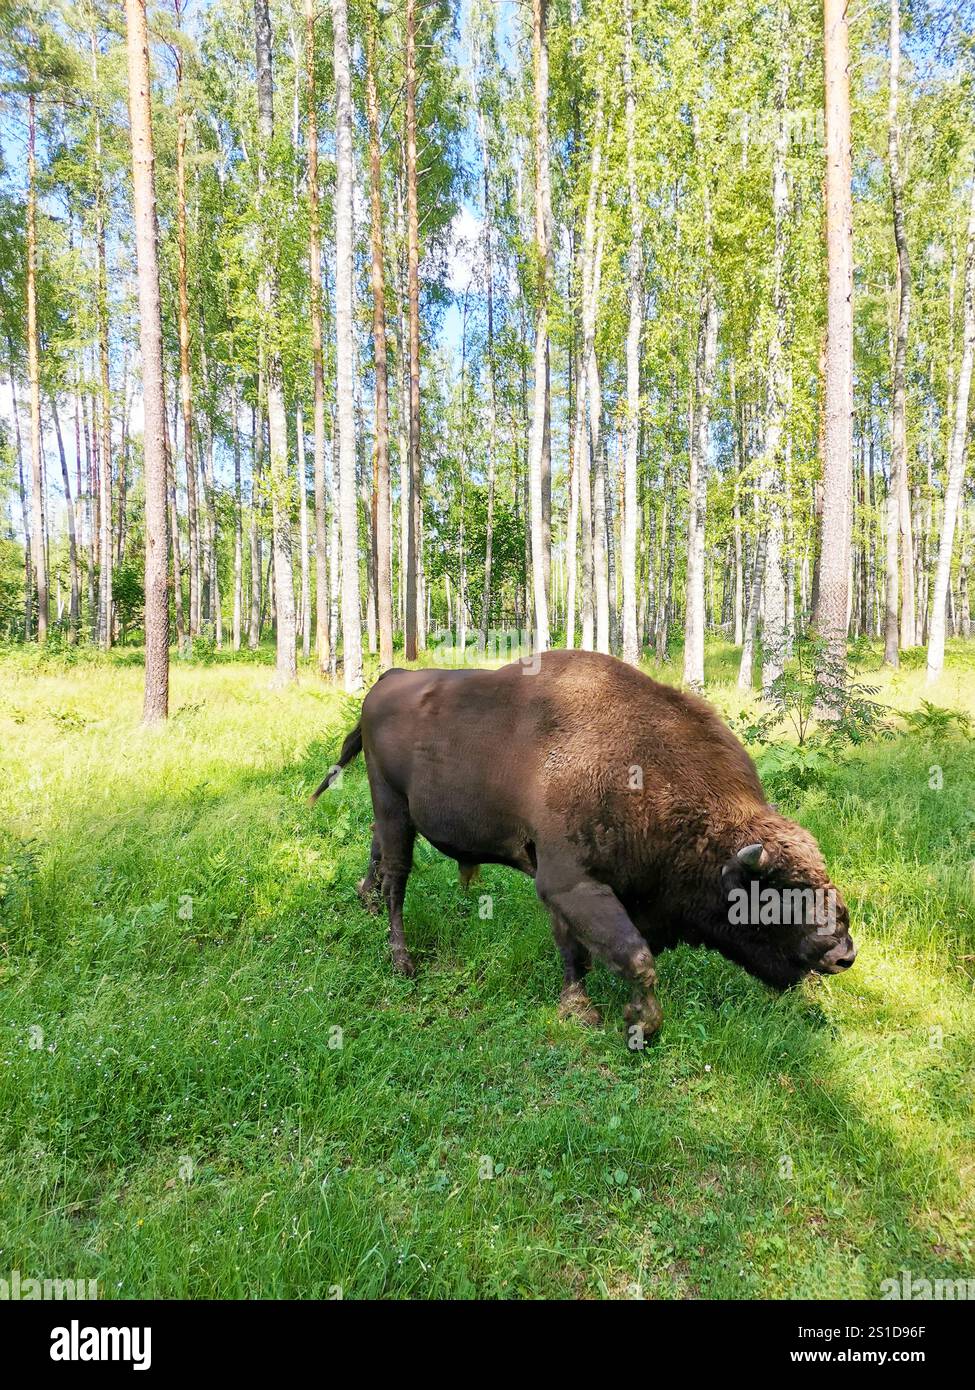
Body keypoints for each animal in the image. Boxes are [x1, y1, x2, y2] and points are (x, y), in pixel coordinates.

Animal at [311, 650, 856, 1040]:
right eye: (773, 891)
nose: (841, 953)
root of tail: (389, 679)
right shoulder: (569, 882)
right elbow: (633, 956)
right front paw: (632, 1022)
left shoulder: (562, 883)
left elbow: (577, 950)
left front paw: (580, 1006)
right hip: (392, 804)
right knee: (398, 878)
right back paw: (401, 961)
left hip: (392, 810)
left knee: (377, 852)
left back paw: (363, 898)